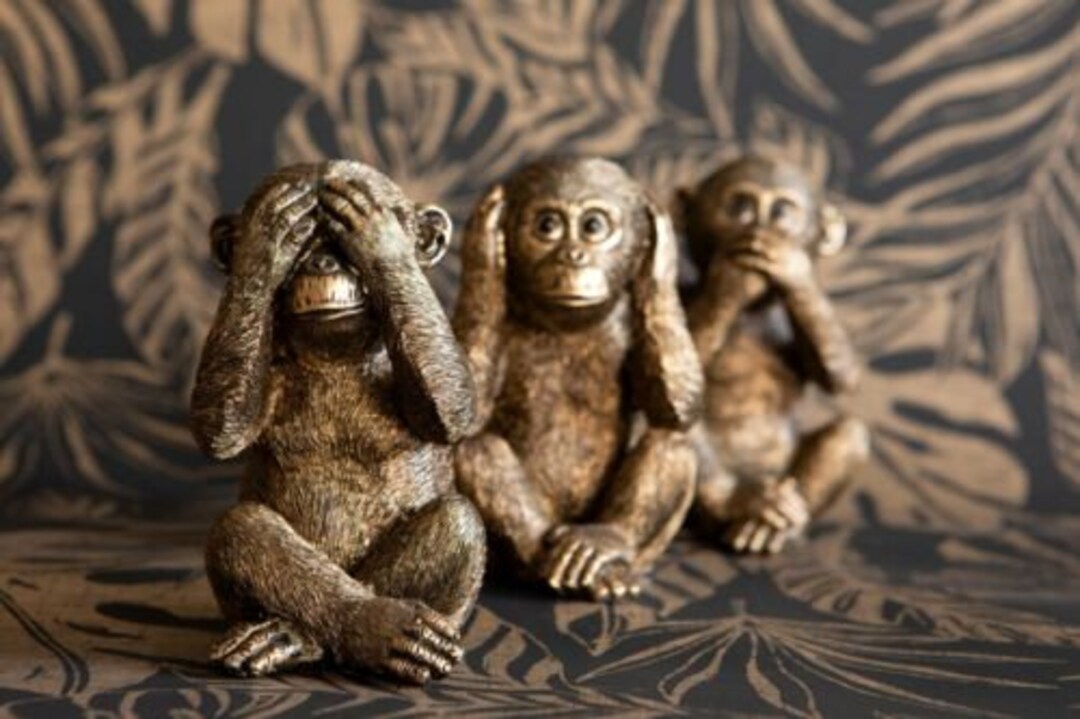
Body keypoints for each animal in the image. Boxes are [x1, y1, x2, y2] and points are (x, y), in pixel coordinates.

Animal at [190, 160, 486, 684]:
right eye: (305, 243)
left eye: (343, 246)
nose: (323, 263)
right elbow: (219, 425)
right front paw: (268, 236)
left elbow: (454, 407)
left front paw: (378, 235)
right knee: (240, 528)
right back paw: (341, 630)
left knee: (459, 523)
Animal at [452, 156, 703, 602]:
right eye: (547, 225)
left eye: (593, 226)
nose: (572, 255)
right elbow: (458, 410)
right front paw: (482, 249)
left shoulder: (629, 326)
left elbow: (677, 407)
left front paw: (661, 255)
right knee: (474, 449)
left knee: (671, 440)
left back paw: (605, 546)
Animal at [678, 155, 870, 555]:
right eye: (740, 206)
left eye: (782, 211)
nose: (759, 230)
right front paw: (732, 277)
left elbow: (842, 377)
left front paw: (791, 266)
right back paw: (741, 504)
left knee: (850, 433)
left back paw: (775, 528)